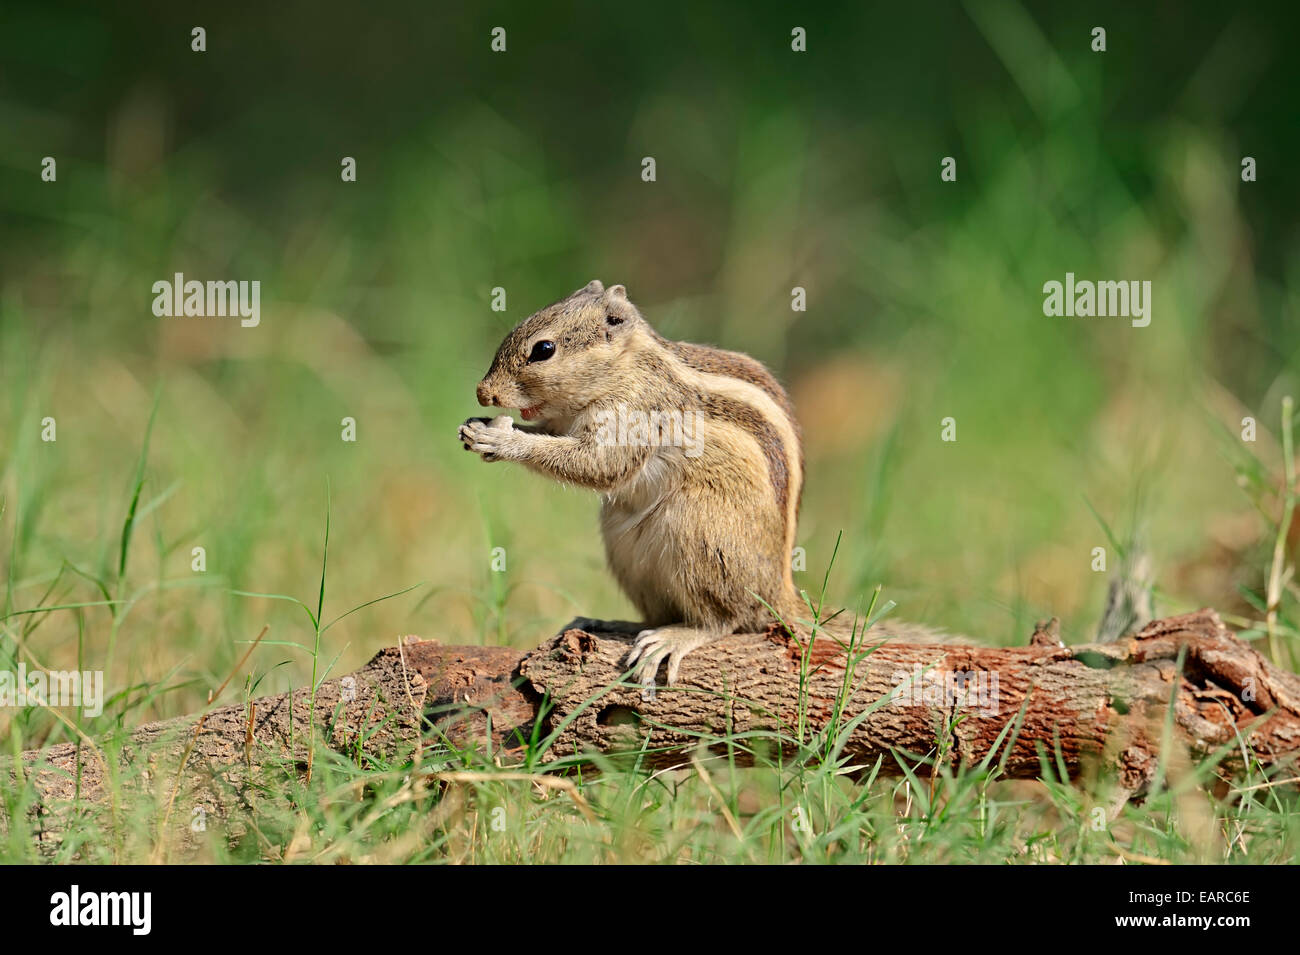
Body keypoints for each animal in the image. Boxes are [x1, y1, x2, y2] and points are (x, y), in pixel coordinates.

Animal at [459, 280, 804, 686]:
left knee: (726, 620)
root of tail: (779, 595)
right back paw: (608, 623)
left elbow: (598, 465)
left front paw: (502, 440)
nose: (483, 393)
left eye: (543, 350)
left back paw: (673, 638)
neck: (626, 369)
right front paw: (479, 427)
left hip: (696, 533)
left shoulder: (634, 415)